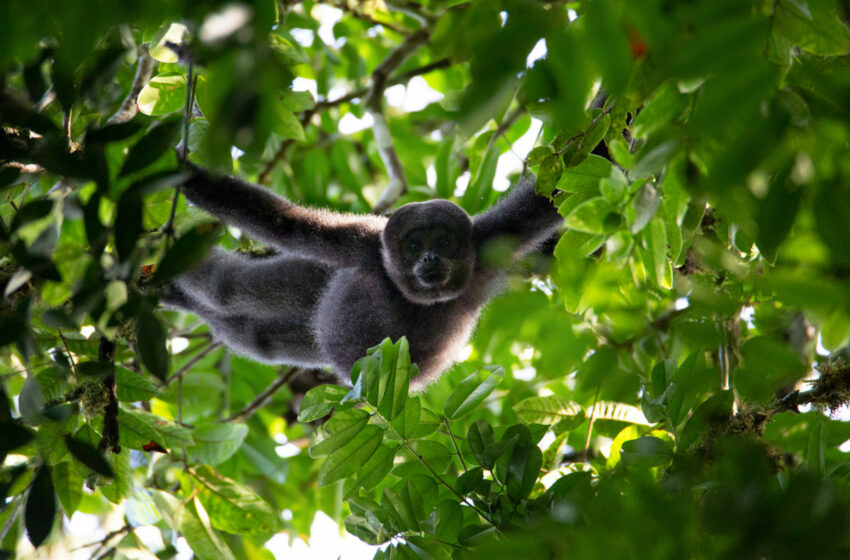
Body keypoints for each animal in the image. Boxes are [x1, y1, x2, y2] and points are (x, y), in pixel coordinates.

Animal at [163, 165, 563, 389]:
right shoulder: (363, 244)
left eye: (444, 242)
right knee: (227, 290)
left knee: (257, 334)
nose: (430, 257)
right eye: (414, 245)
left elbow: (547, 201)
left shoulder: (491, 239)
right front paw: (180, 167)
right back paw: (169, 286)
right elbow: (285, 222)